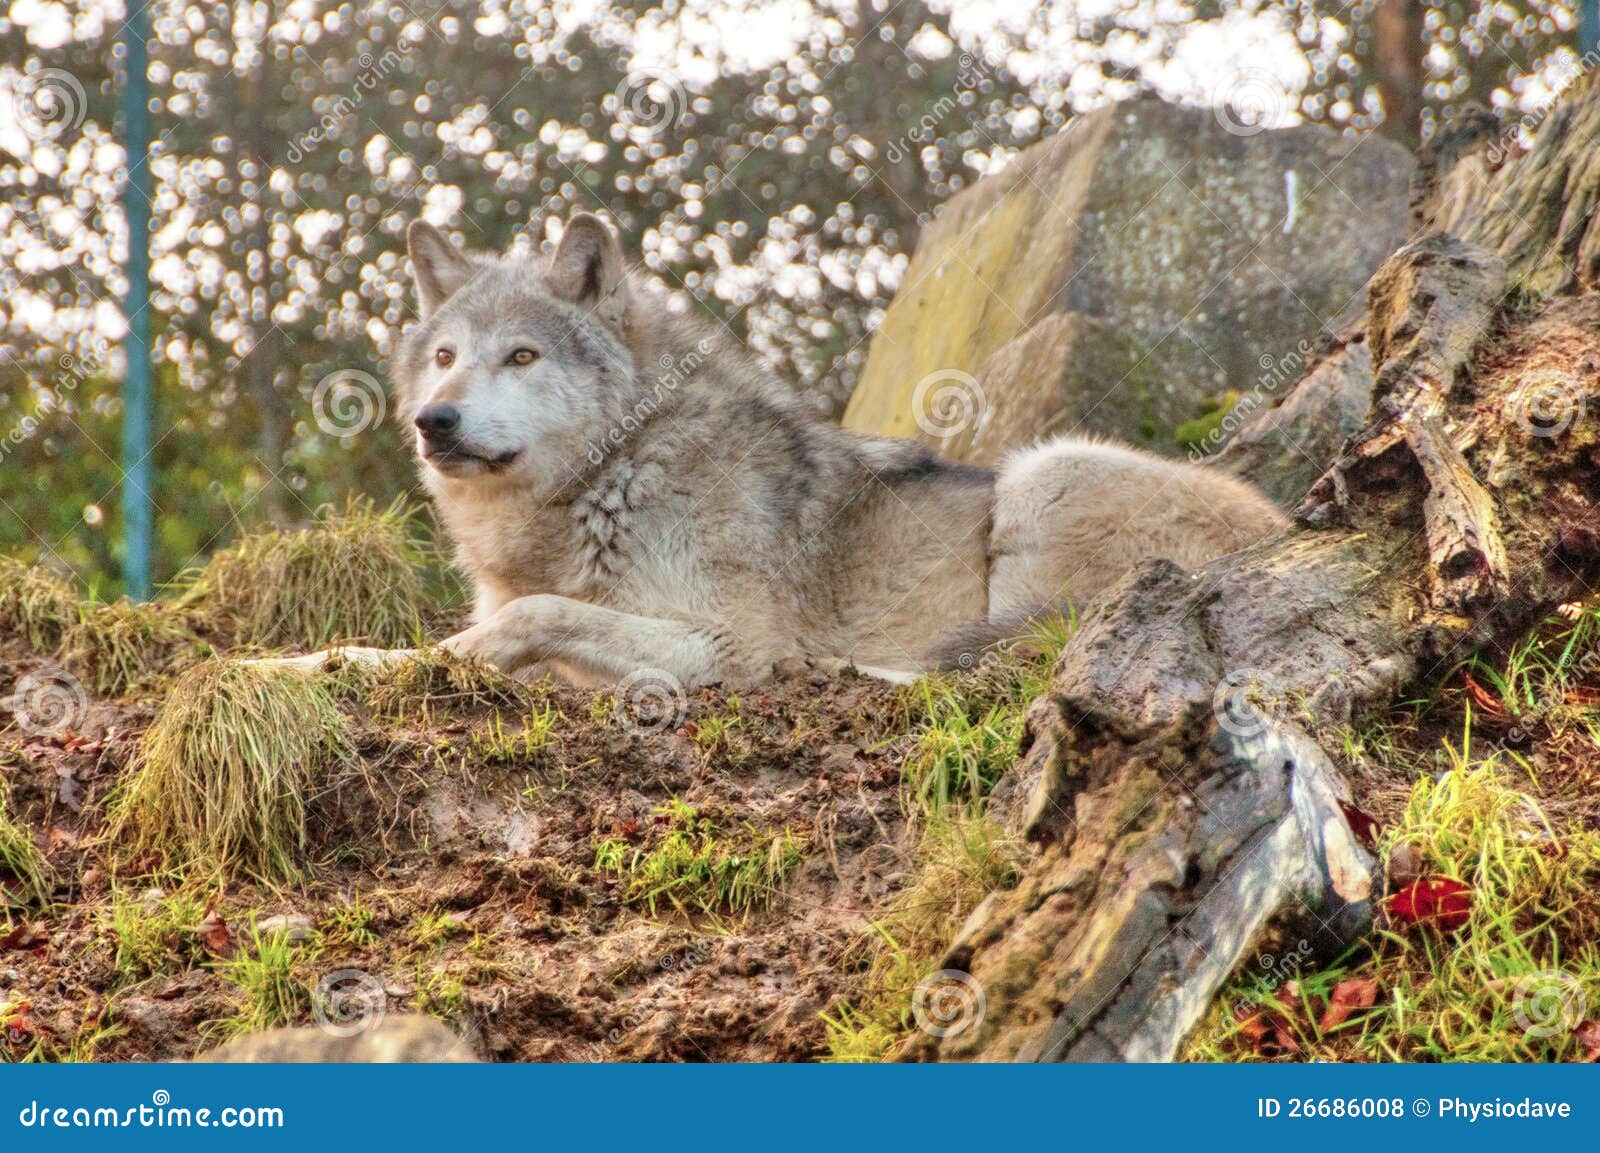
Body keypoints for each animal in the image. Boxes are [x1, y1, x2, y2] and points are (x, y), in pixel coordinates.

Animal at [283, 214, 1286, 687]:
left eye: (522, 356)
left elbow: (527, 617)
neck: (619, 472)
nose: (435, 421)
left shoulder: (725, 638)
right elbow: (427, 644)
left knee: (1009, 659)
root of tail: (1280, 531)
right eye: (446, 358)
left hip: (1047, 471)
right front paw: (296, 666)